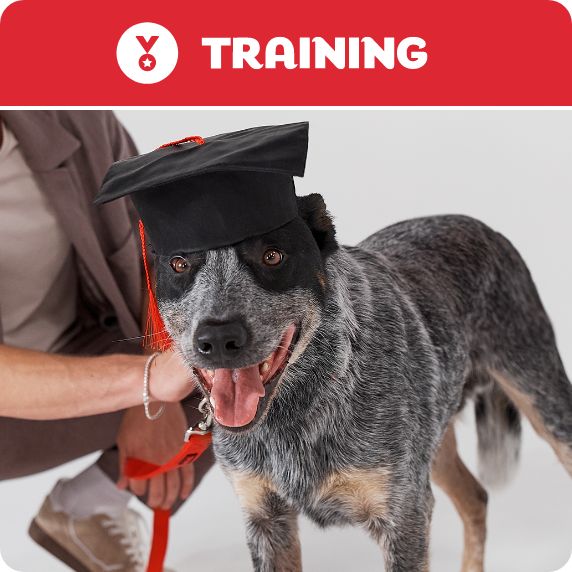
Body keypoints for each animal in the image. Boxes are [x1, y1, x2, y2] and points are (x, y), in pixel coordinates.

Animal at [153, 194, 572, 568]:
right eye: (179, 263)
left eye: (272, 256)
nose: (218, 338)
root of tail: (480, 225)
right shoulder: (265, 518)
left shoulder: (403, 515)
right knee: (476, 498)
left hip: (544, 402)